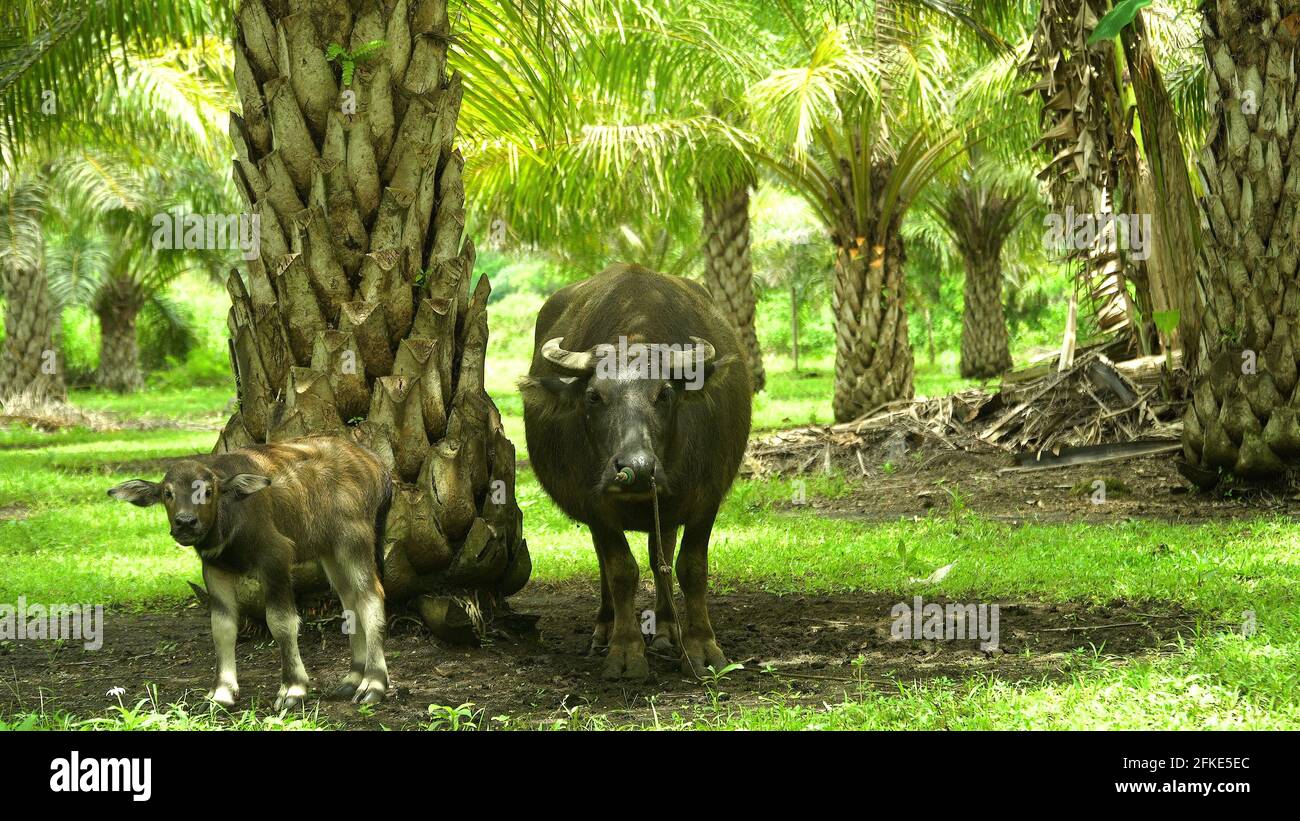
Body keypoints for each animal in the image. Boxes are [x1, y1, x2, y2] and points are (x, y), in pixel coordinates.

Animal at [108, 436, 392, 708]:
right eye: (168, 493)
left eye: (208, 491)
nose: (185, 522)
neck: (231, 520)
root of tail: (374, 462)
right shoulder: (214, 571)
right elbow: (222, 627)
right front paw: (222, 692)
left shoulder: (276, 559)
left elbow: (281, 623)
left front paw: (293, 688)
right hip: (330, 550)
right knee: (350, 600)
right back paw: (353, 678)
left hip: (354, 541)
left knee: (370, 598)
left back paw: (373, 684)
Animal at [519, 263, 752, 679]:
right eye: (593, 395)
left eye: (664, 393)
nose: (638, 469)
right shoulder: (596, 506)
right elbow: (621, 571)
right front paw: (625, 651)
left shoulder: (705, 497)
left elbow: (691, 567)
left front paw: (702, 648)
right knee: (606, 564)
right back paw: (604, 628)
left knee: (662, 553)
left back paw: (667, 628)